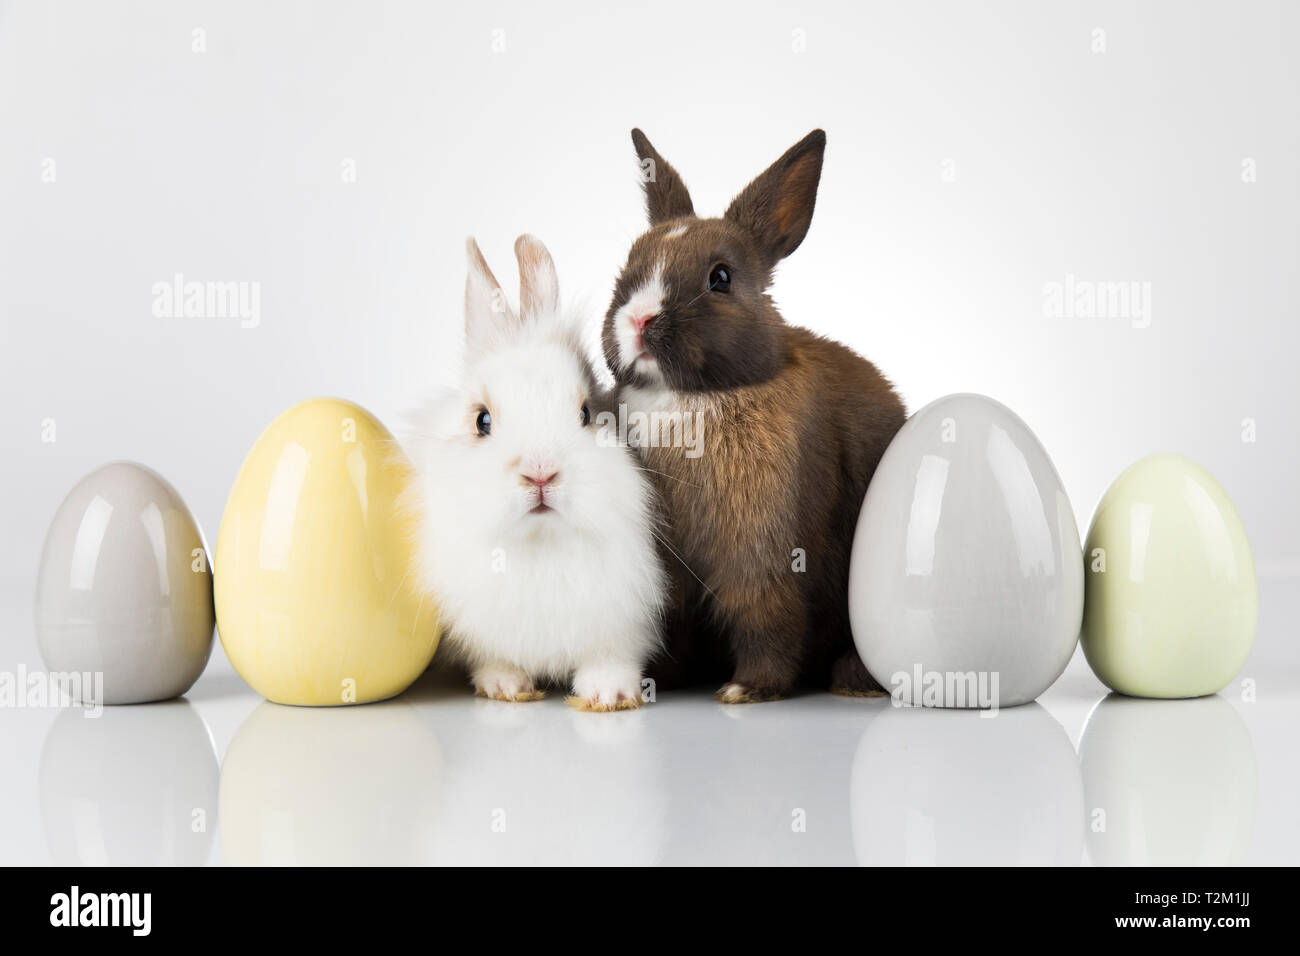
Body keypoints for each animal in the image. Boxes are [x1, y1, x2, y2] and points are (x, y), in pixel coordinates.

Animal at [406, 234, 668, 711]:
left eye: (586, 413)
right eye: (482, 420)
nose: (541, 473)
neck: (541, 546)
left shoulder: (621, 628)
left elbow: (611, 660)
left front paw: (608, 694)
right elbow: (494, 659)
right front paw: (505, 686)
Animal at [600, 129, 907, 703]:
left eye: (720, 277)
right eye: (627, 266)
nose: (639, 320)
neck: (690, 398)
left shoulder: (765, 562)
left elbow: (768, 619)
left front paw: (747, 689)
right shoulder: (668, 573)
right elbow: (669, 622)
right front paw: (656, 679)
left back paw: (852, 681)